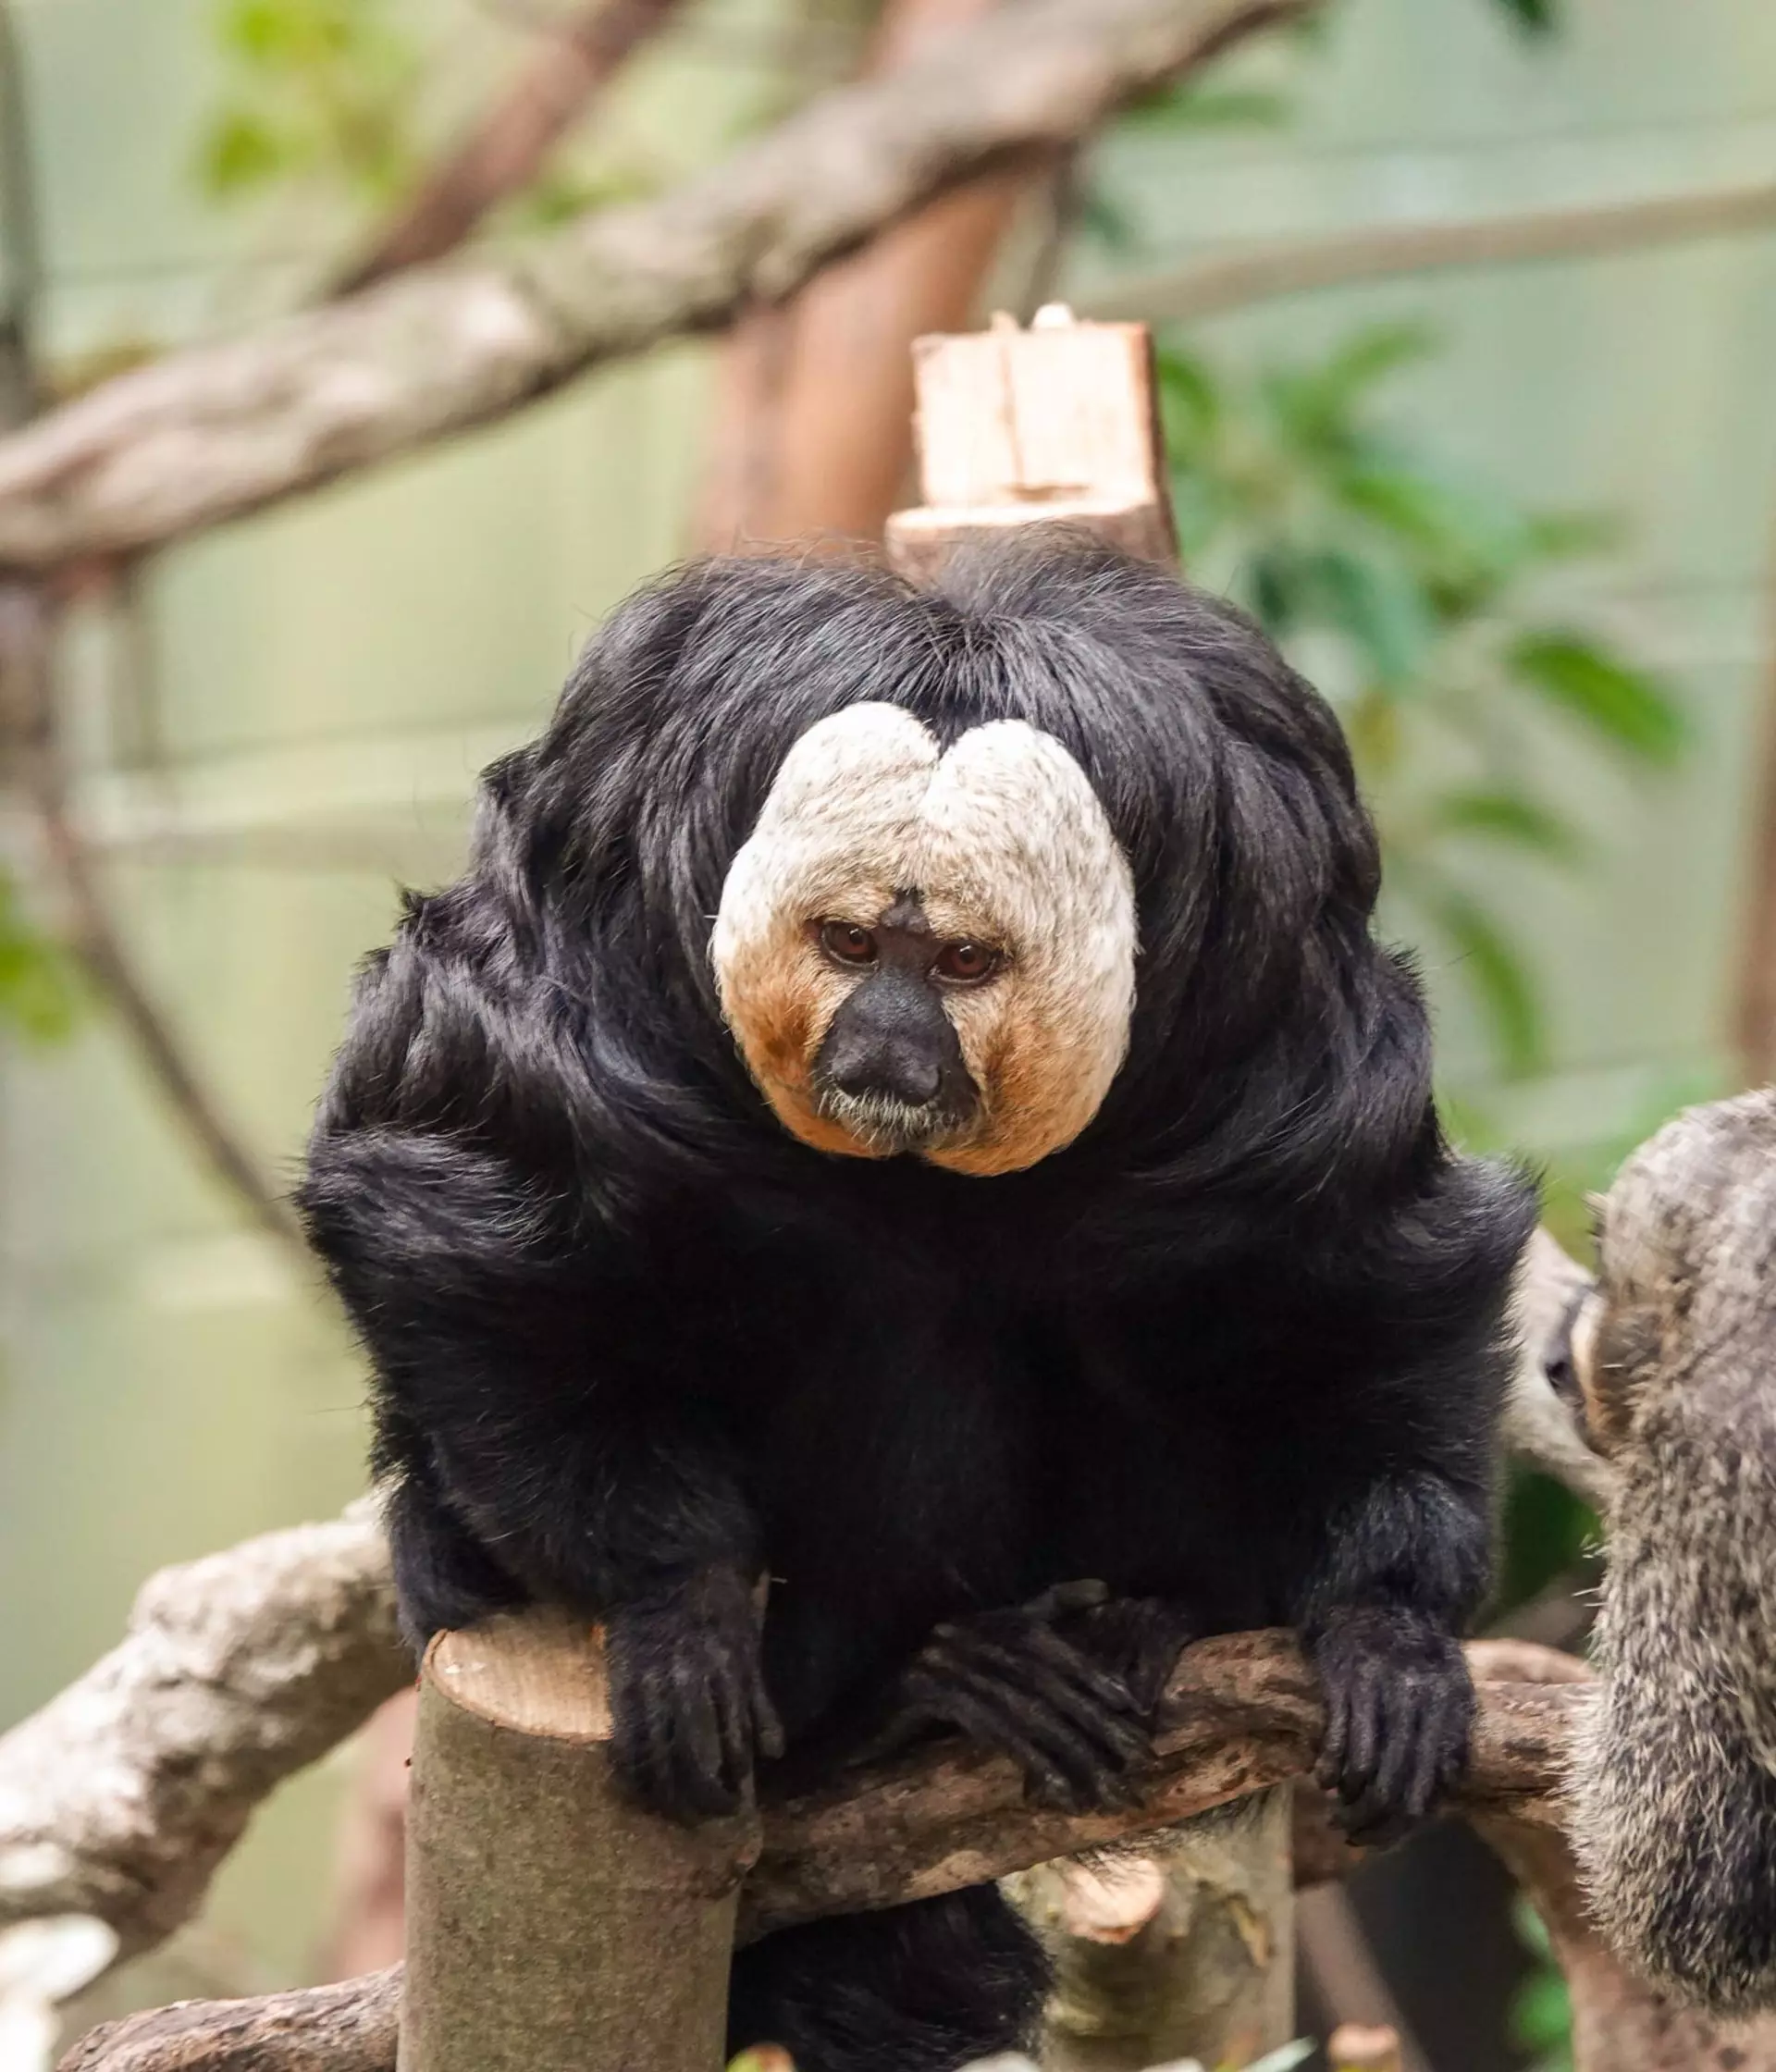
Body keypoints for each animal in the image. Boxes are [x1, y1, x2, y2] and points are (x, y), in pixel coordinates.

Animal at [298, 535, 1538, 2072]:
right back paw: (895, 1712)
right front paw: (676, 1602)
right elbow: (467, 1196)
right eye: (844, 945)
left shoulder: (1278, 935)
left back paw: (1125, 1634)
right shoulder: (601, 864)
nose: (884, 1047)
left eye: (958, 965)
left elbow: (1366, 1260)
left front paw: (1388, 1627)